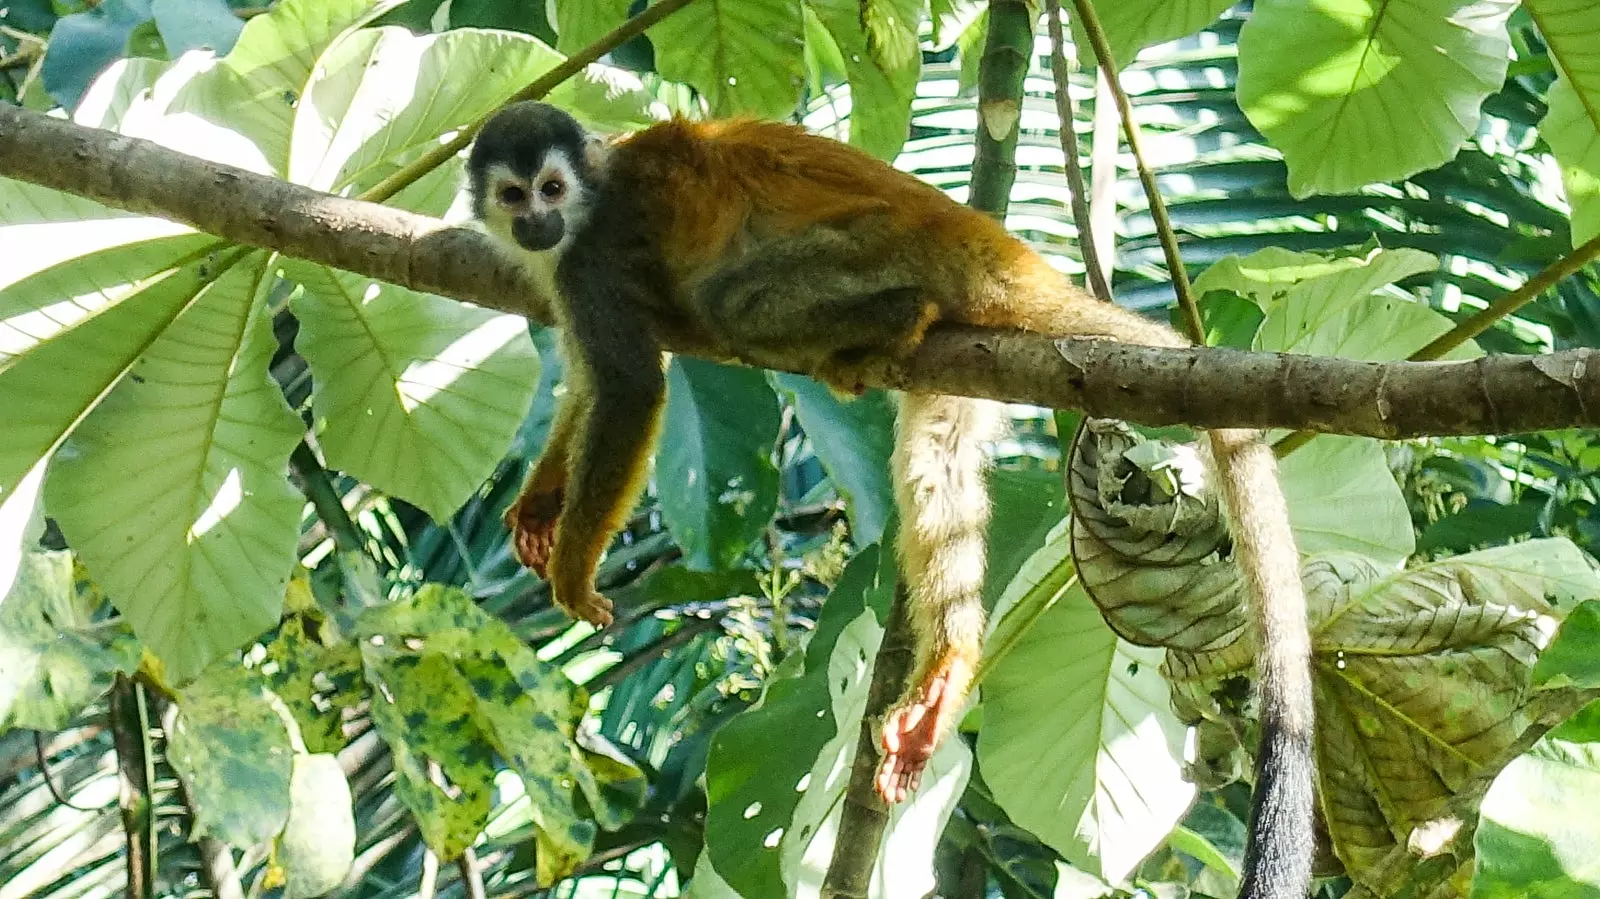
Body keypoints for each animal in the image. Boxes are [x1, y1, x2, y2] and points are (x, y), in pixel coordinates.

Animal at [467, 101, 1312, 889]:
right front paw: (542, 507)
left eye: (551, 188)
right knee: (935, 463)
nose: (537, 221)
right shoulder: (560, 271)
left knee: (732, 301)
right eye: (513, 195)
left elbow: (630, 387)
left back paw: (896, 317)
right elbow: (590, 385)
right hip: (971, 363)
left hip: (874, 248)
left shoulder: (591, 261)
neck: (590, 200)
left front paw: (573, 565)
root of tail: (975, 233)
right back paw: (947, 663)